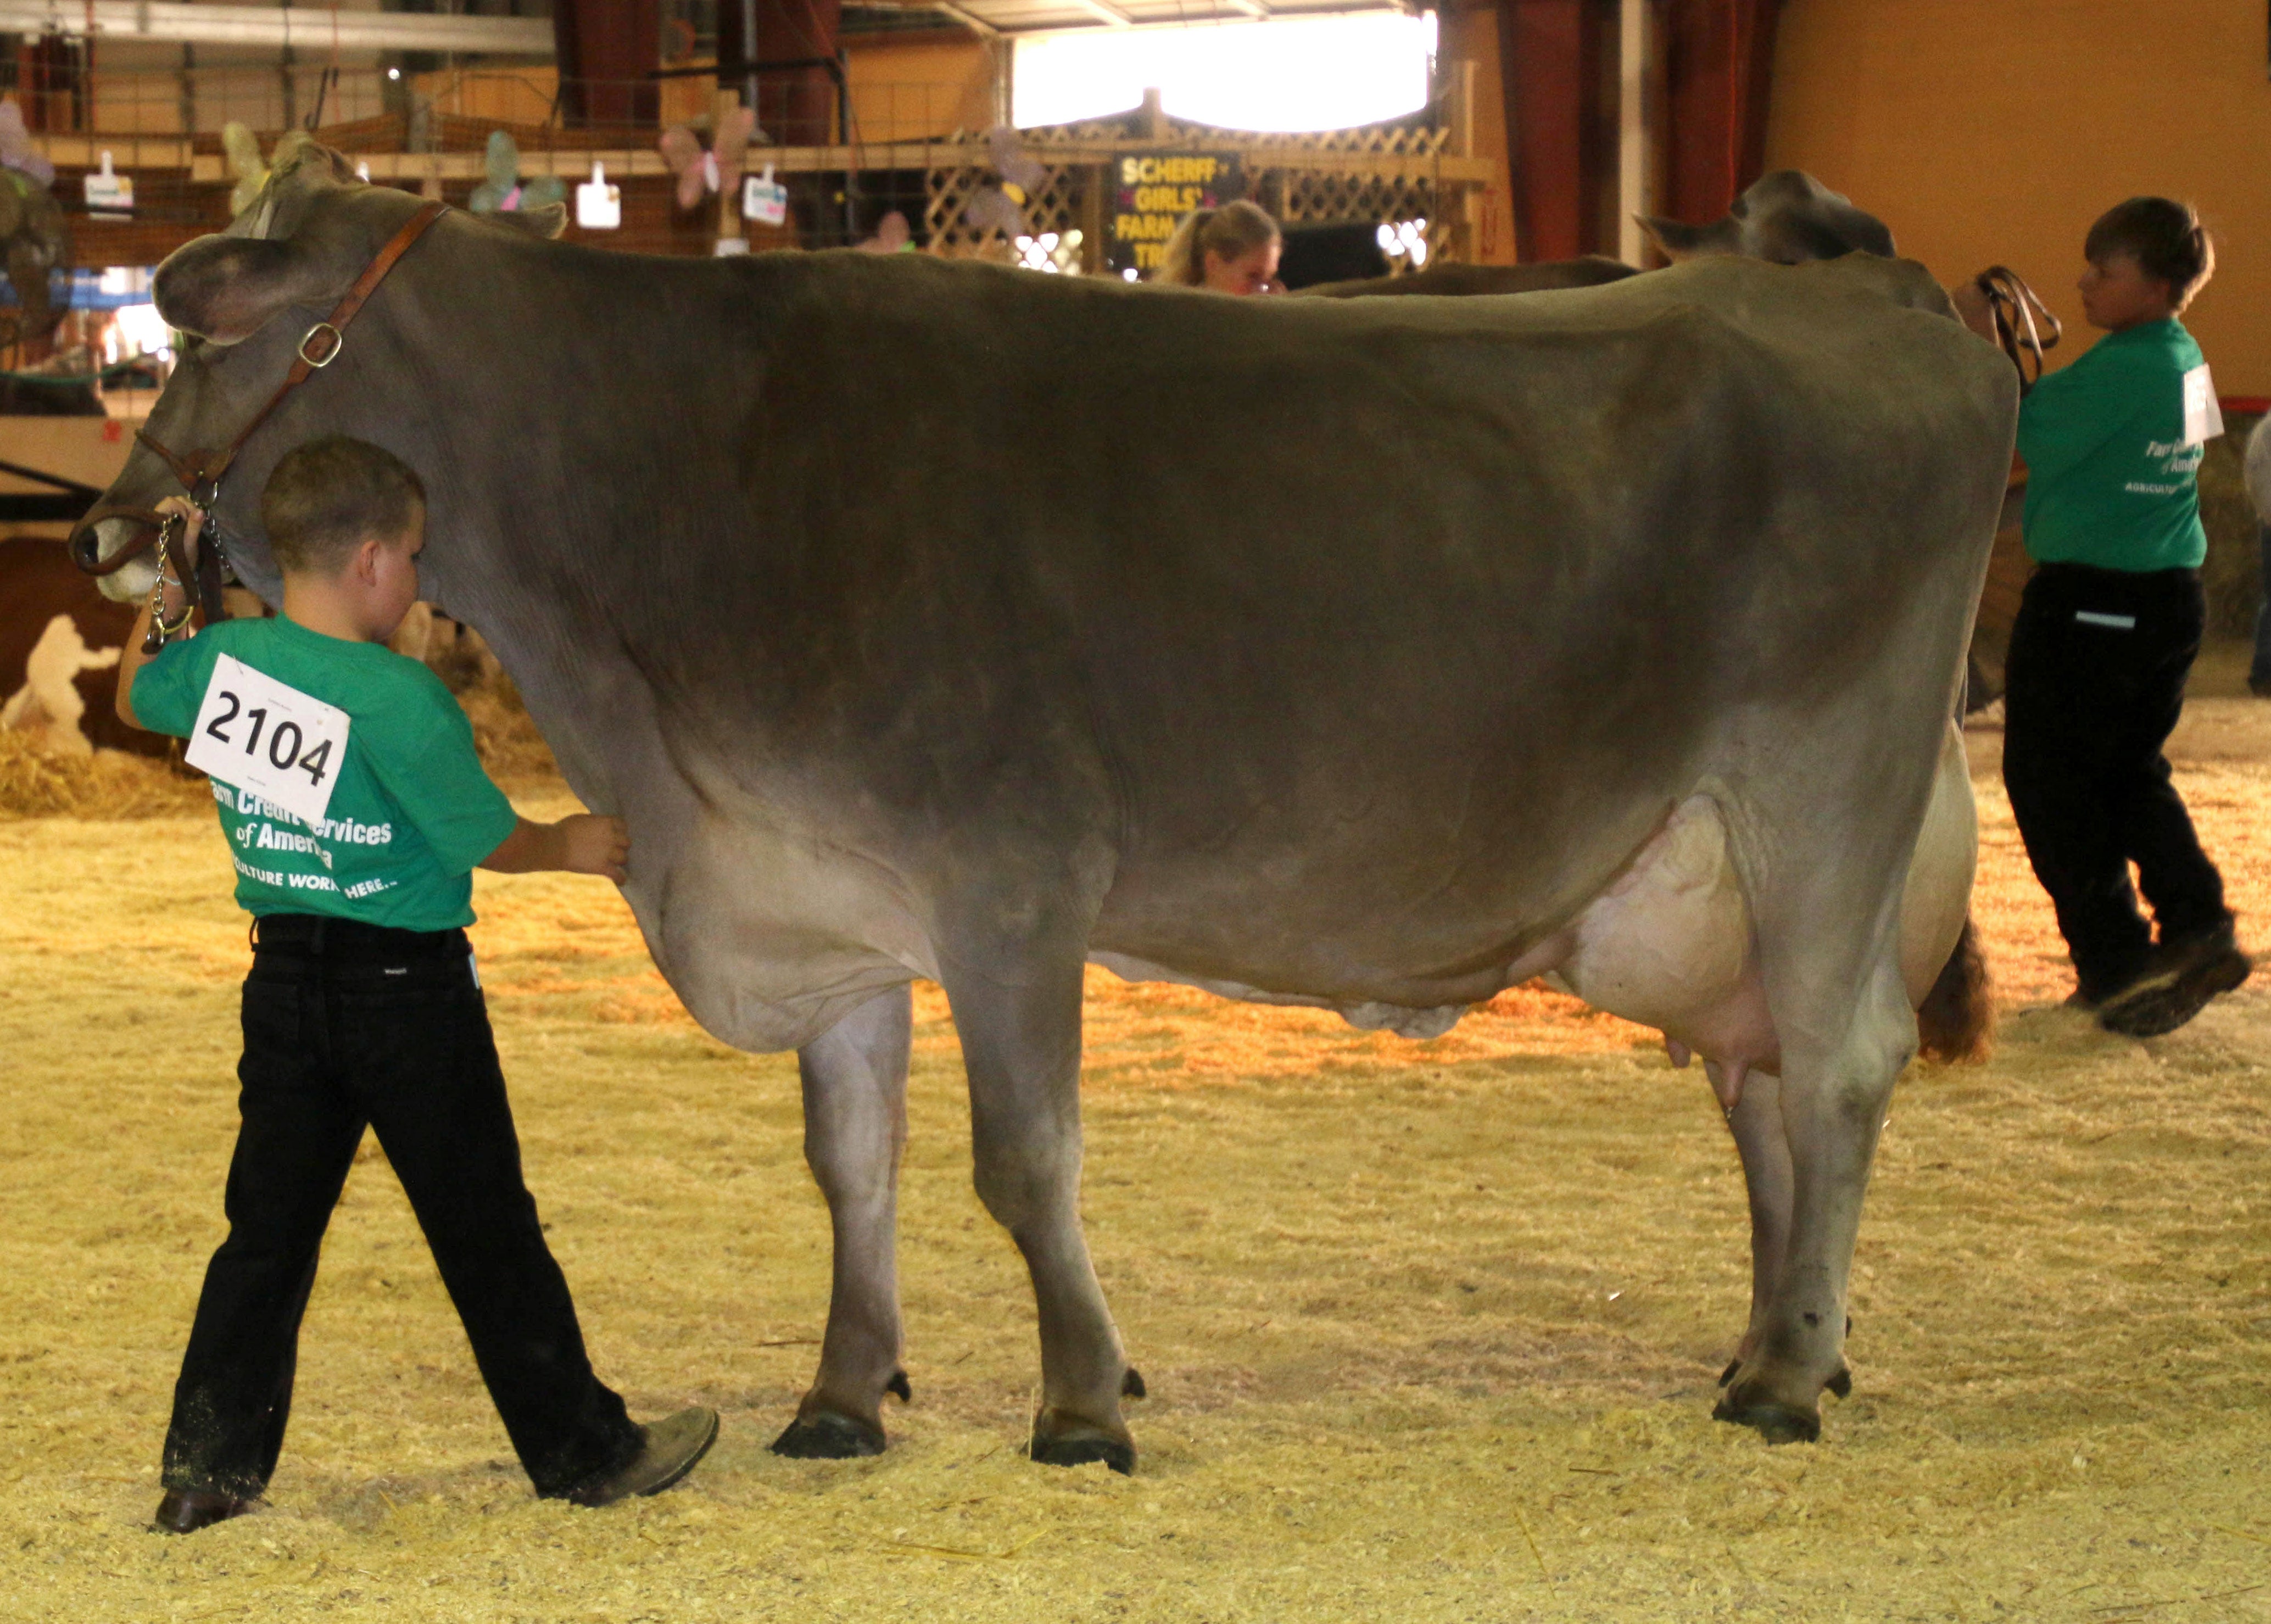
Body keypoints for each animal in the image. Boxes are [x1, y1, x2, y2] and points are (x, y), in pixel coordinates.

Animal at [76, 143, 2014, 1467]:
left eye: (192, 319)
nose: (98, 531)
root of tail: (1863, 287)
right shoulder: (830, 900)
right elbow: (849, 1163)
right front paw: (841, 1393)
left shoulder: (1008, 877)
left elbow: (1022, 1157)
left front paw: (1082, 1399)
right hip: (1719, 864)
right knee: (1758, 1079)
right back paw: (1777, 1339)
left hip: (1822, 780)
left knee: (1835, 1063)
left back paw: (1785, 1371)